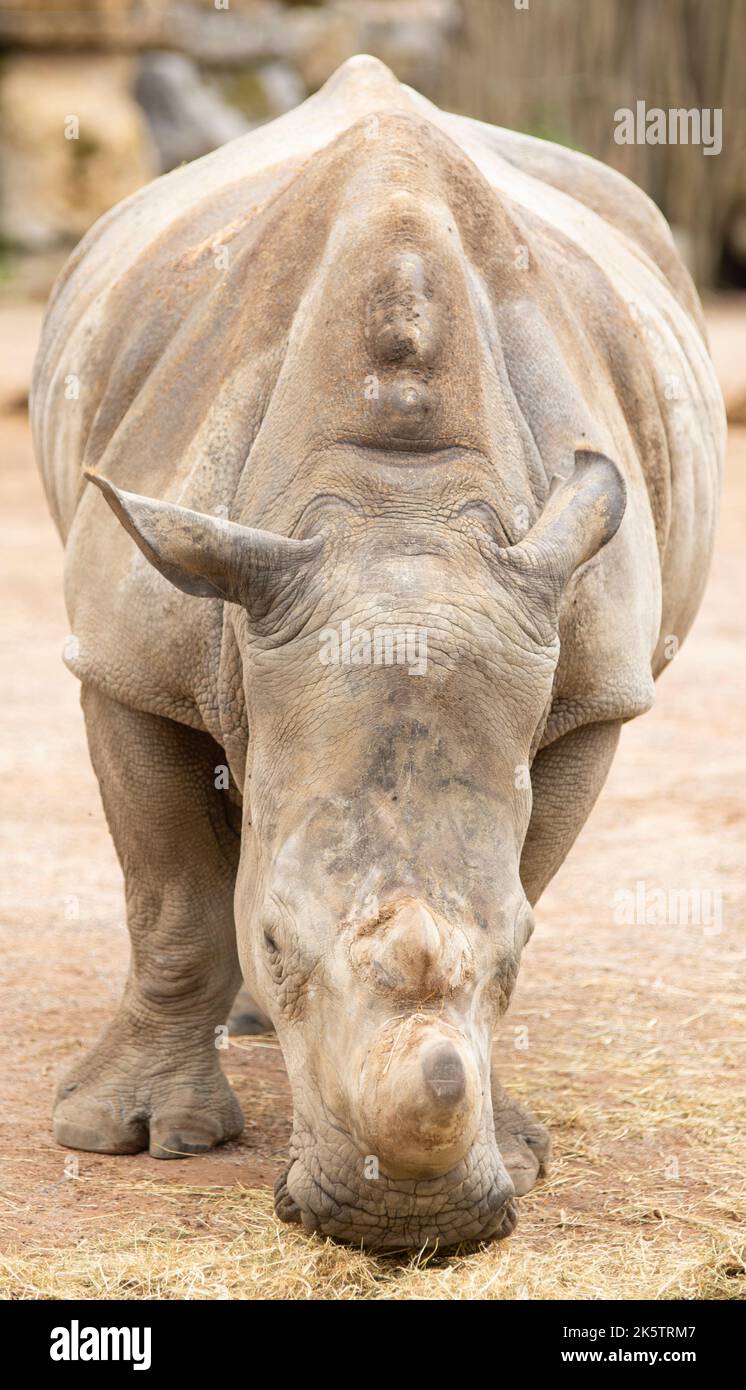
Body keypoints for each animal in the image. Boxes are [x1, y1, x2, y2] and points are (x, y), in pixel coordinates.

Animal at [32, 56, 724, 1250]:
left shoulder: (590, 684)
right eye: (275, 939)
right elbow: (168, 898)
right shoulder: (125, 654)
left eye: (521, 949)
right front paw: (122, 1136)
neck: (398, 507)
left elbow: (525, 864)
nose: (408, 1227)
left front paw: (514, 1148)